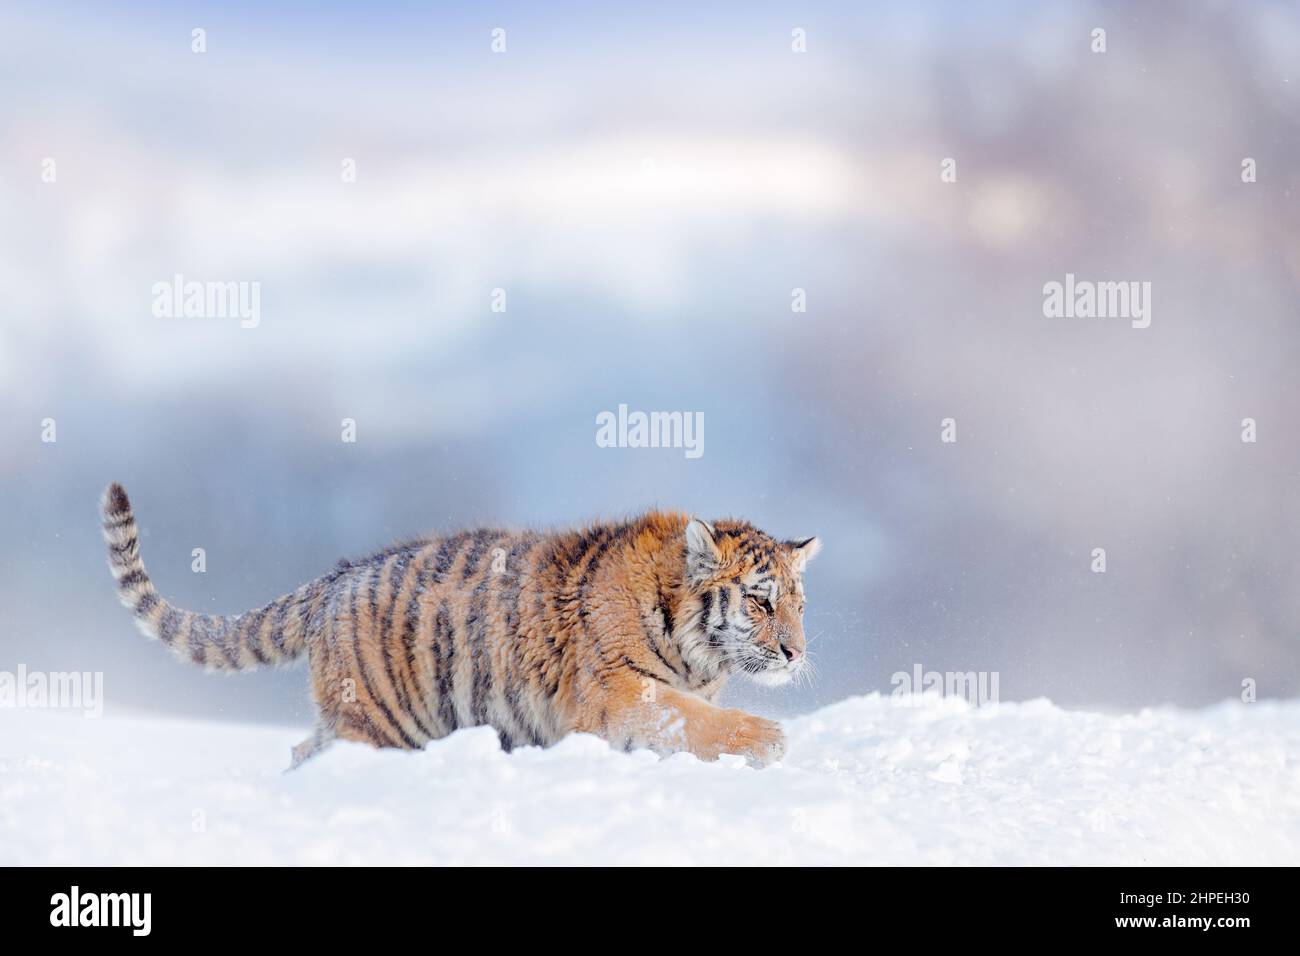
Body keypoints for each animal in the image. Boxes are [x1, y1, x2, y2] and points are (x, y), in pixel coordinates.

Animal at [100, 481, 820, 768]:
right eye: (761, 603)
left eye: (798, 604)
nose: (795, 654)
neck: (700, 654)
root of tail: (333, 580)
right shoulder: (619, 692)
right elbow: (695, 721)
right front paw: (771, 741)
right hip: (381, 722)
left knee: (302, 750)